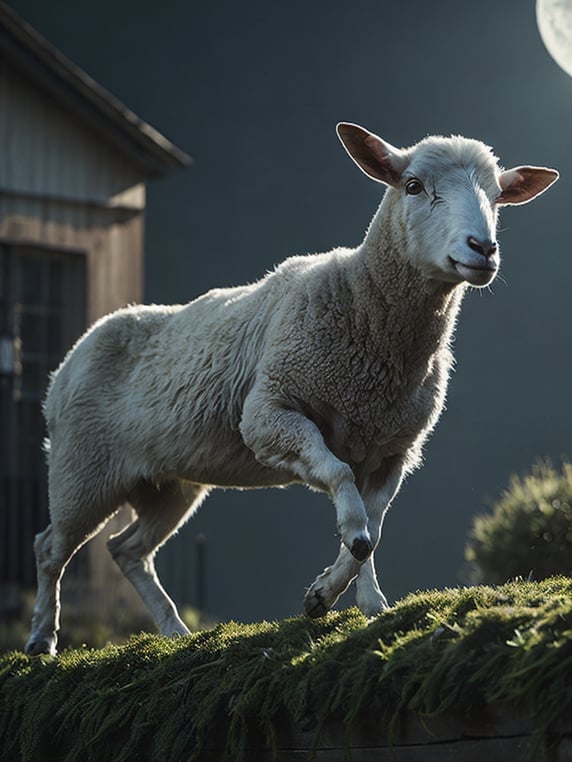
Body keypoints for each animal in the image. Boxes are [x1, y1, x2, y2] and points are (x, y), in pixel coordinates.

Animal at [25, 122, 558, 656]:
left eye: (497, 197)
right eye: (412, 186)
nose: (482, 248)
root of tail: (70, 359)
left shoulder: (393, 451)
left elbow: (375, 527)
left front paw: (352, 600)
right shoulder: (268, 416)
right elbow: (345, 492)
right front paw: (344, 562)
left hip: (166, 482)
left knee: (127, 549)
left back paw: (175, 631)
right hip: (82, 468)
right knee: (50, 548)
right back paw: (42, 639)